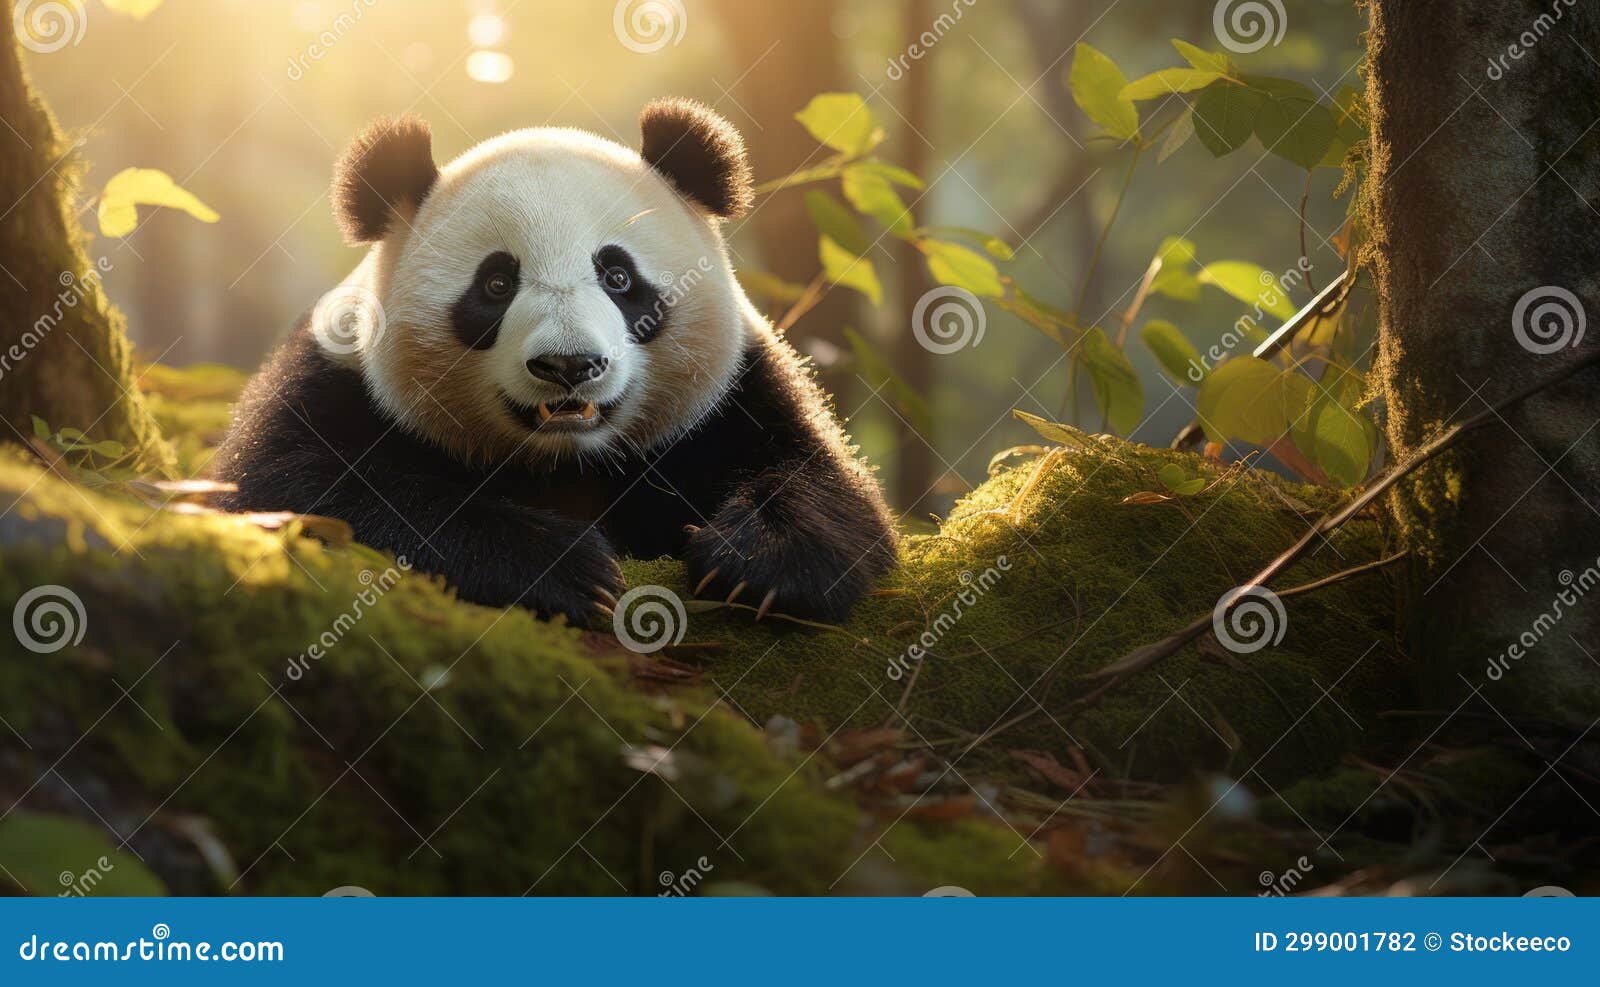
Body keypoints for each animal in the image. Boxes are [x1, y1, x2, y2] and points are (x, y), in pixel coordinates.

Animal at [211, 99, 897, 625]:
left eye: (618, 276)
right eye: (495, 285)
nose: (569, 365)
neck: (566, 461)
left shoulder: (735, 391)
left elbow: (821, 479)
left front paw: (761, 564)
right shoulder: (336, 379)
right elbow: (296, 489)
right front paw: (566, 568)